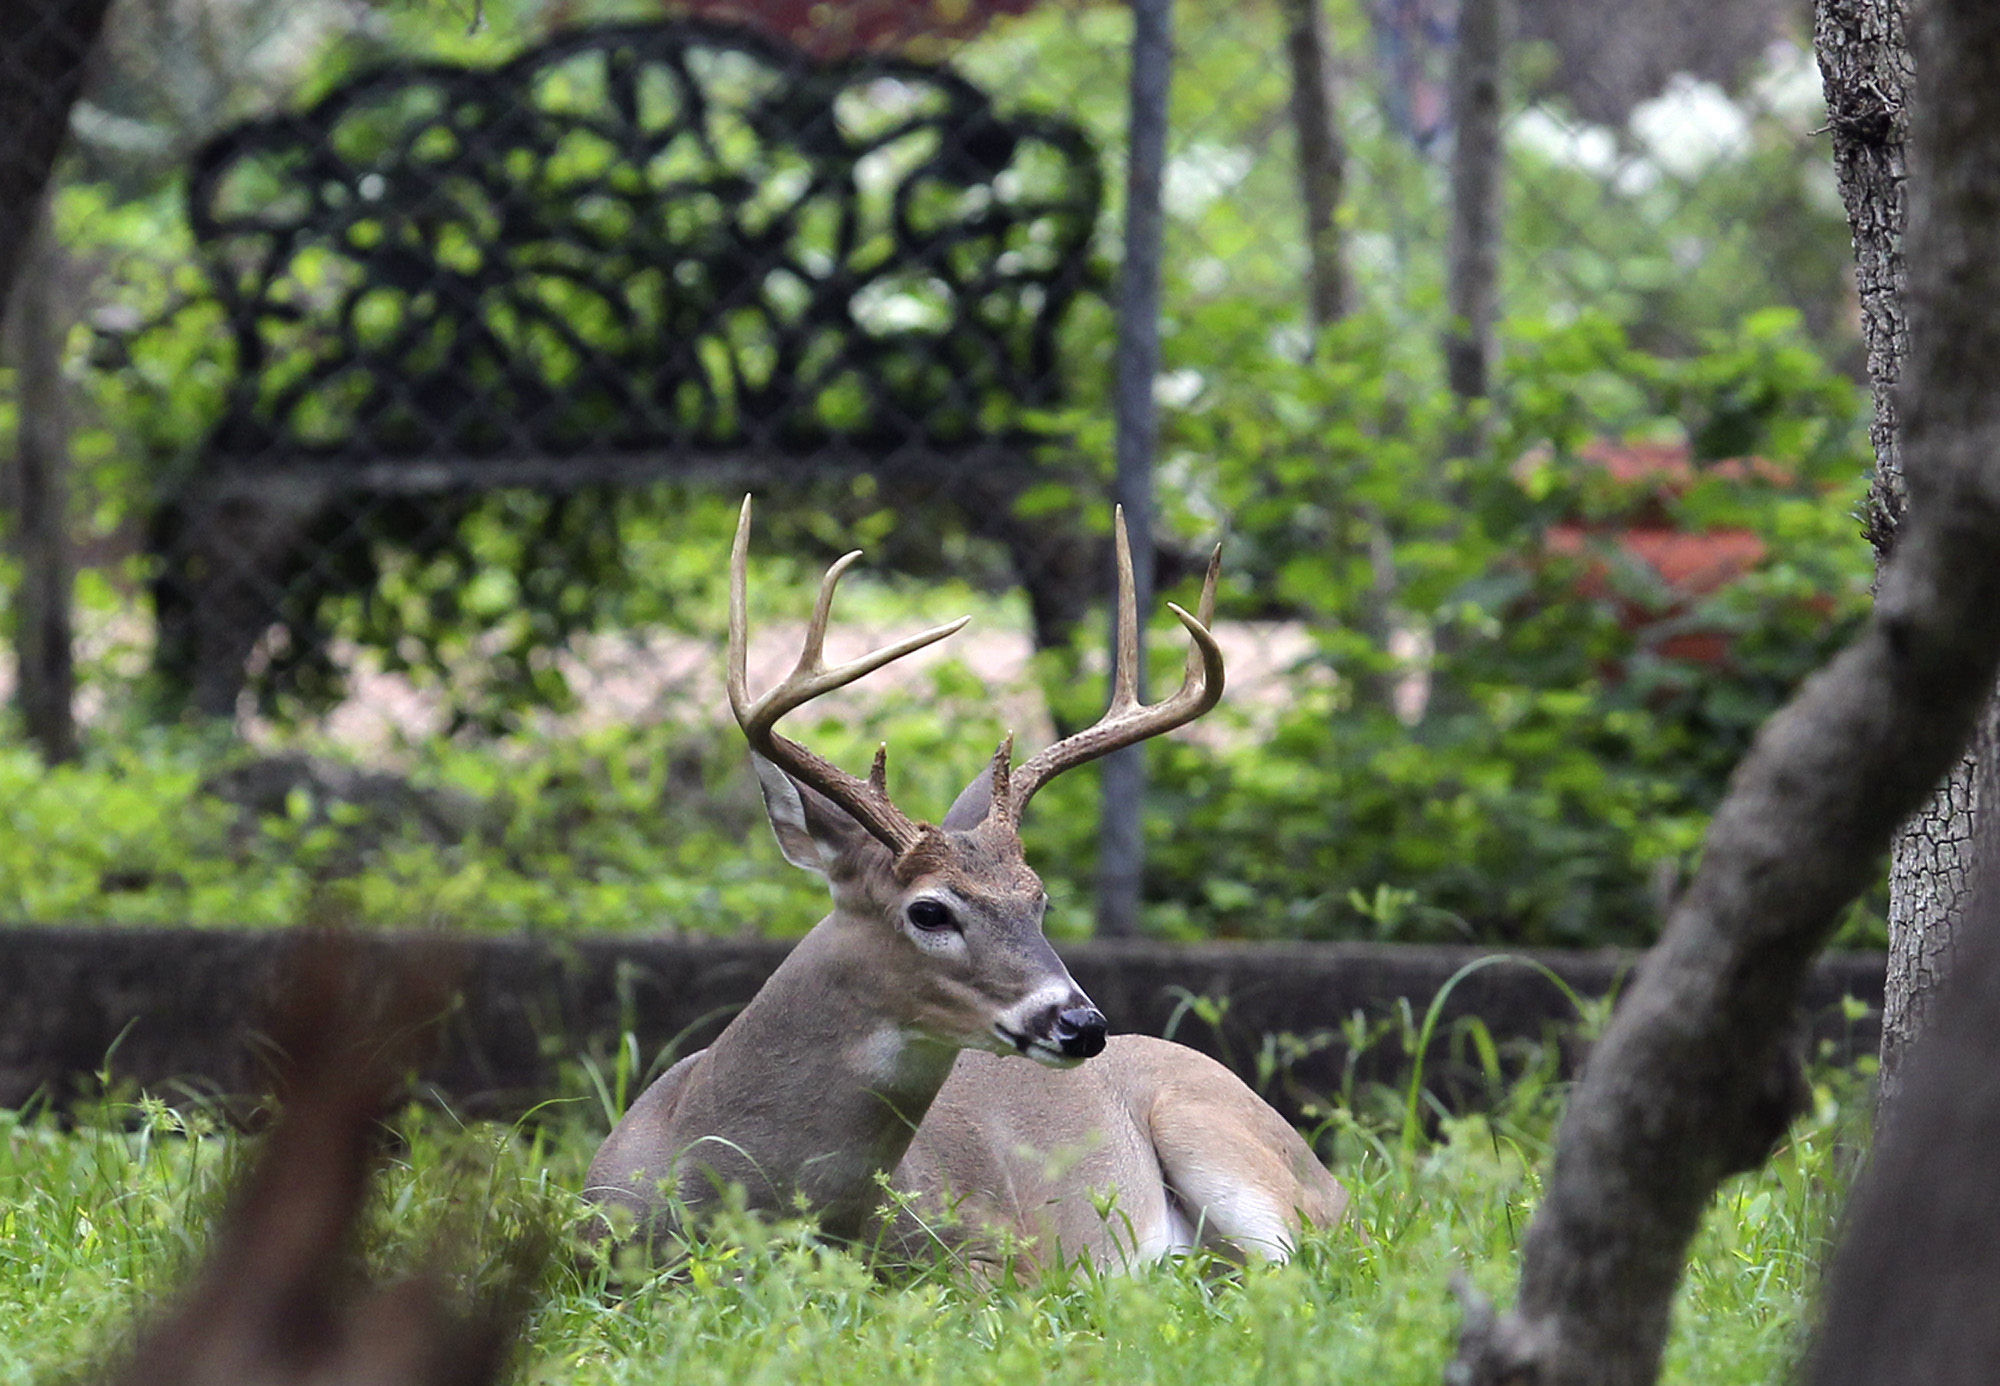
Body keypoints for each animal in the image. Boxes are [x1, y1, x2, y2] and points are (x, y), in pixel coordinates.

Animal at [584, 497, 1350, 1273]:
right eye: (929, 911)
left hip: (1218, 1134)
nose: (1081, 1024)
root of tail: (1334, 1184)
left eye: (1040, 900)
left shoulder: (999, 1249)